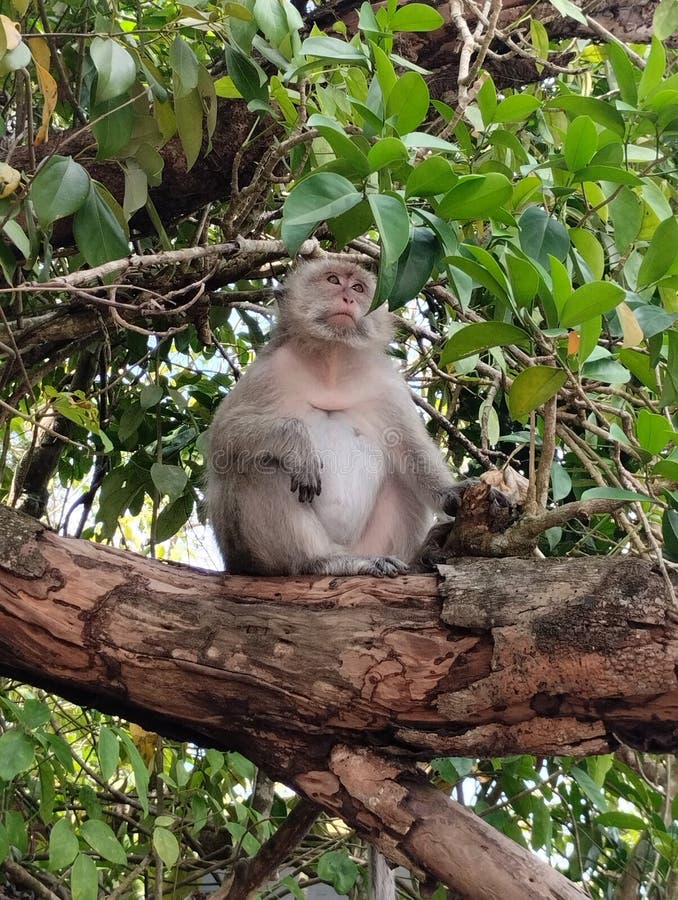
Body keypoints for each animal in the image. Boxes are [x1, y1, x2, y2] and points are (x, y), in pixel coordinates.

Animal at [207, 256, 472, 578]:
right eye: (333, 280)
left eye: (358, 287)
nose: (348, 298)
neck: (331, 364)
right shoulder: (266, 372)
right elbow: (222, 441)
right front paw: (296, 442)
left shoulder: (386, 384)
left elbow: (411, 450)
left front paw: (452, 493)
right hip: (248, 556)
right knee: (256, 465)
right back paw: (324, 561)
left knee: (400, 475)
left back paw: (417, 558)